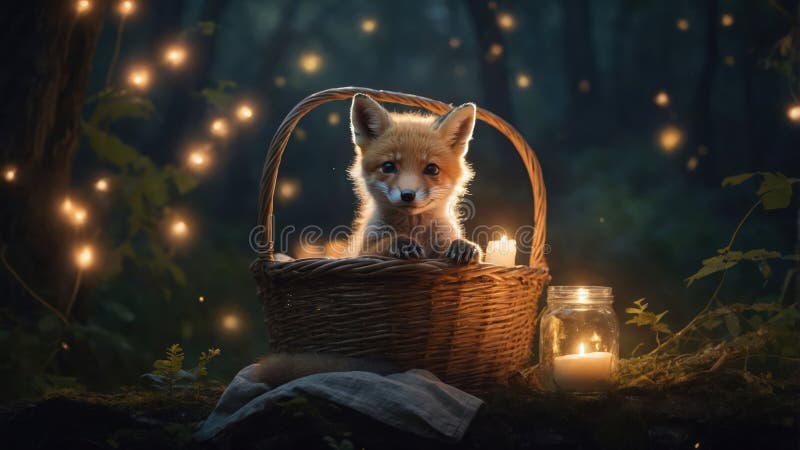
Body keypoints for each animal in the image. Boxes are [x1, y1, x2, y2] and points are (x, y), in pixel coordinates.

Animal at [254, 94, 483, 387]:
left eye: (431, 169)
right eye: (389, 166)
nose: (407, 195)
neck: (414, 228)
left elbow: (456, 244)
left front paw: (463, 247)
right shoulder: (365, 251)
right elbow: (385, 244)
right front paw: (401, 244)